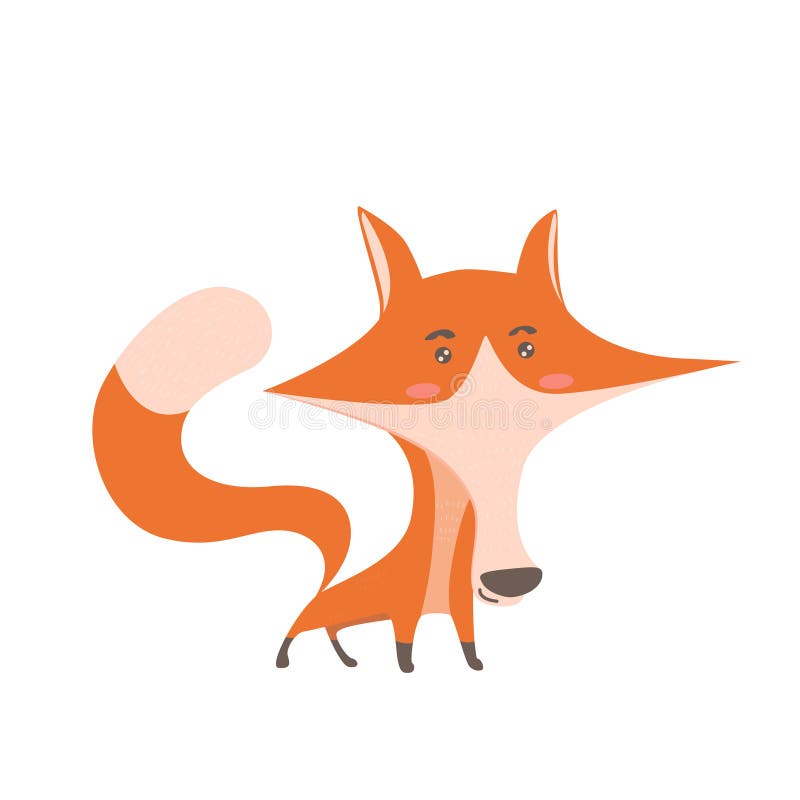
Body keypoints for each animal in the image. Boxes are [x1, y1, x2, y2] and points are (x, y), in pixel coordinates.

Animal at [93, 209, 731, 672]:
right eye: (440, 355)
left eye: (529, 349)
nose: (512, 579)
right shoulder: (404, 614)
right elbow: (405, 646)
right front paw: (408, 669)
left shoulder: (458, 614)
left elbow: (466, 644)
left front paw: (470, 665)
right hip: (319, 615)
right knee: (299, 628)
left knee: (330, 630)